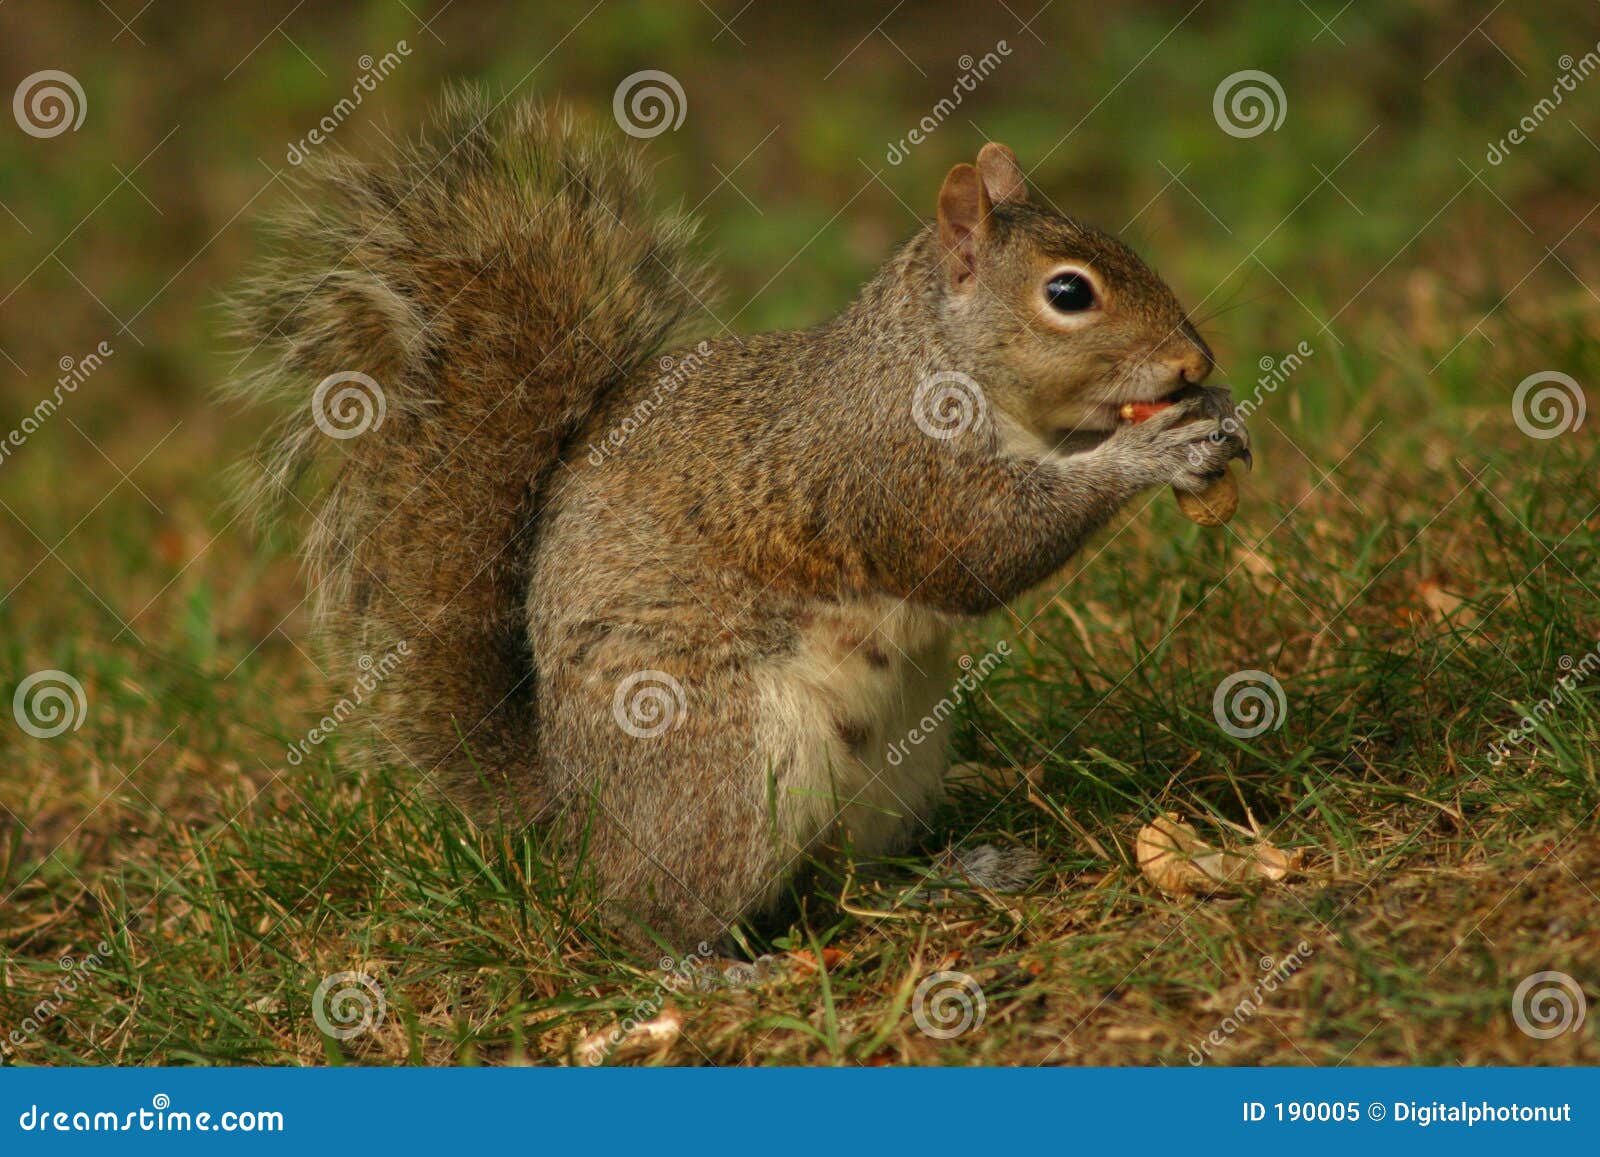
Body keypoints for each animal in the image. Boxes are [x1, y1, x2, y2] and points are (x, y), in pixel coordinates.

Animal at [229, 89, 1249, 948]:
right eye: (1068, 292)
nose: (1195, 361)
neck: (936, 357)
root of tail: (575, 810)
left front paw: (1218, 414)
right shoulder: (891, 466)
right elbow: (981, 551)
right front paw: (1147, 452)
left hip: (896, 763)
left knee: (845, 880)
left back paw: (958, 872)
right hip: (720, 766)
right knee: (650, 911)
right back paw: (703, 965)